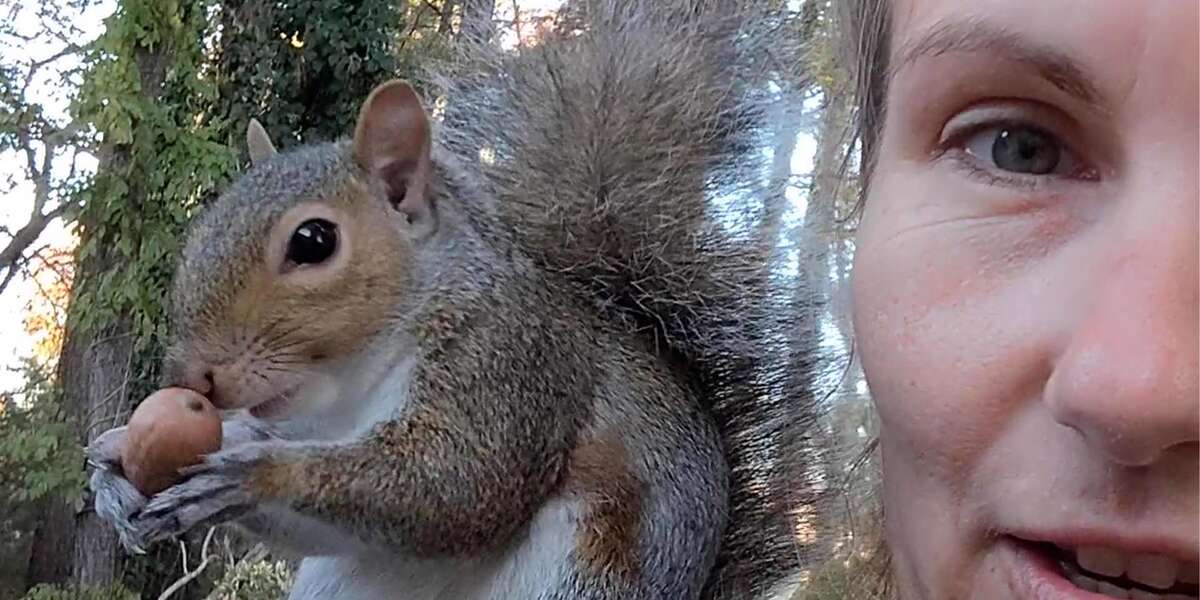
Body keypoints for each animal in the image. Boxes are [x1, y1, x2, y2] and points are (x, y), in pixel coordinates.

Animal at [86, 1, 824, 598]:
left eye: (314, 241)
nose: (191, 376)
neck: (351, 387)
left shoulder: (510, 366)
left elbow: (457, 489)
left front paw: (254, 474)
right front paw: (114, 467)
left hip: (585, 580)